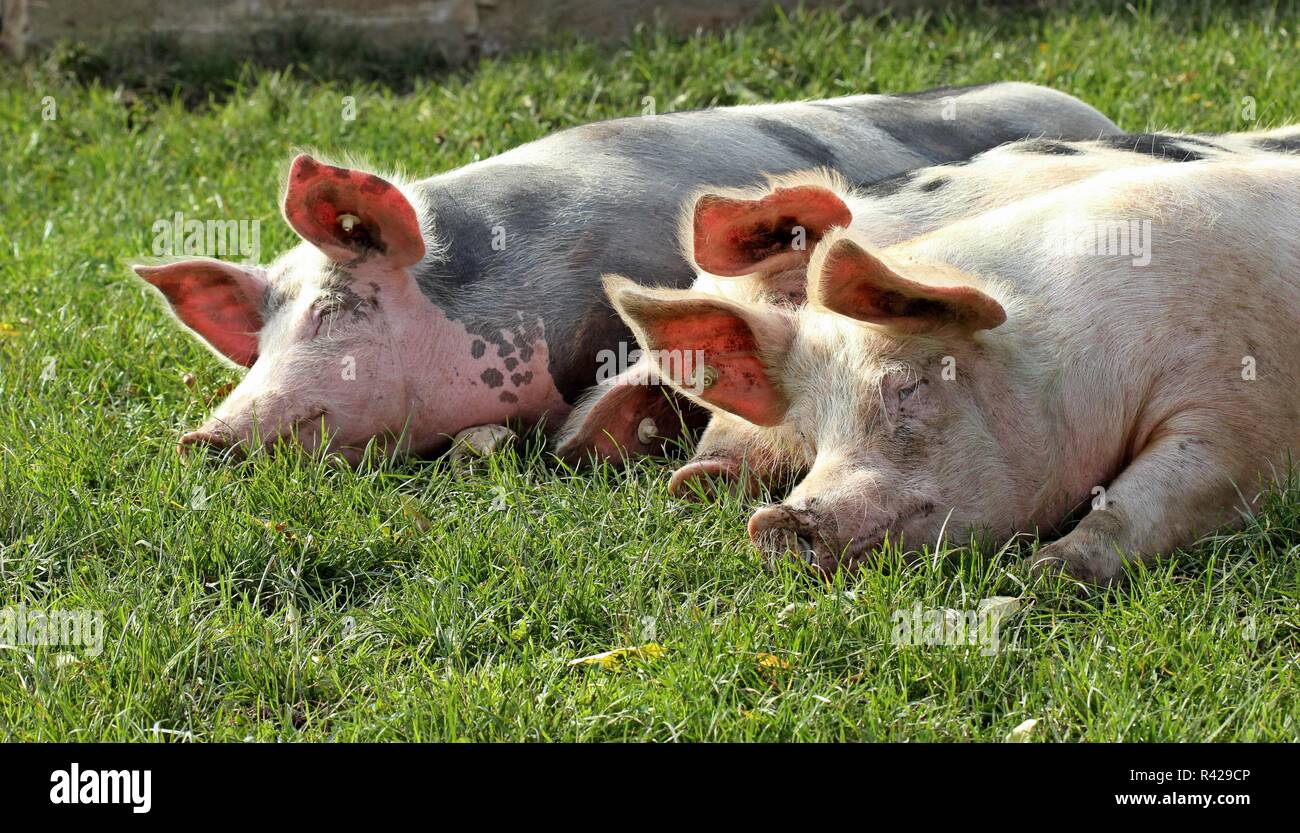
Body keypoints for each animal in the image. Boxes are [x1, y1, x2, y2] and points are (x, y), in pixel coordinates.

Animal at [603, 151, 1300, 585]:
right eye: (812, 433)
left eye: (908, 387)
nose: (774, 520)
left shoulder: (1239, 405)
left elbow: (1148, 499)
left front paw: (1038, 577)